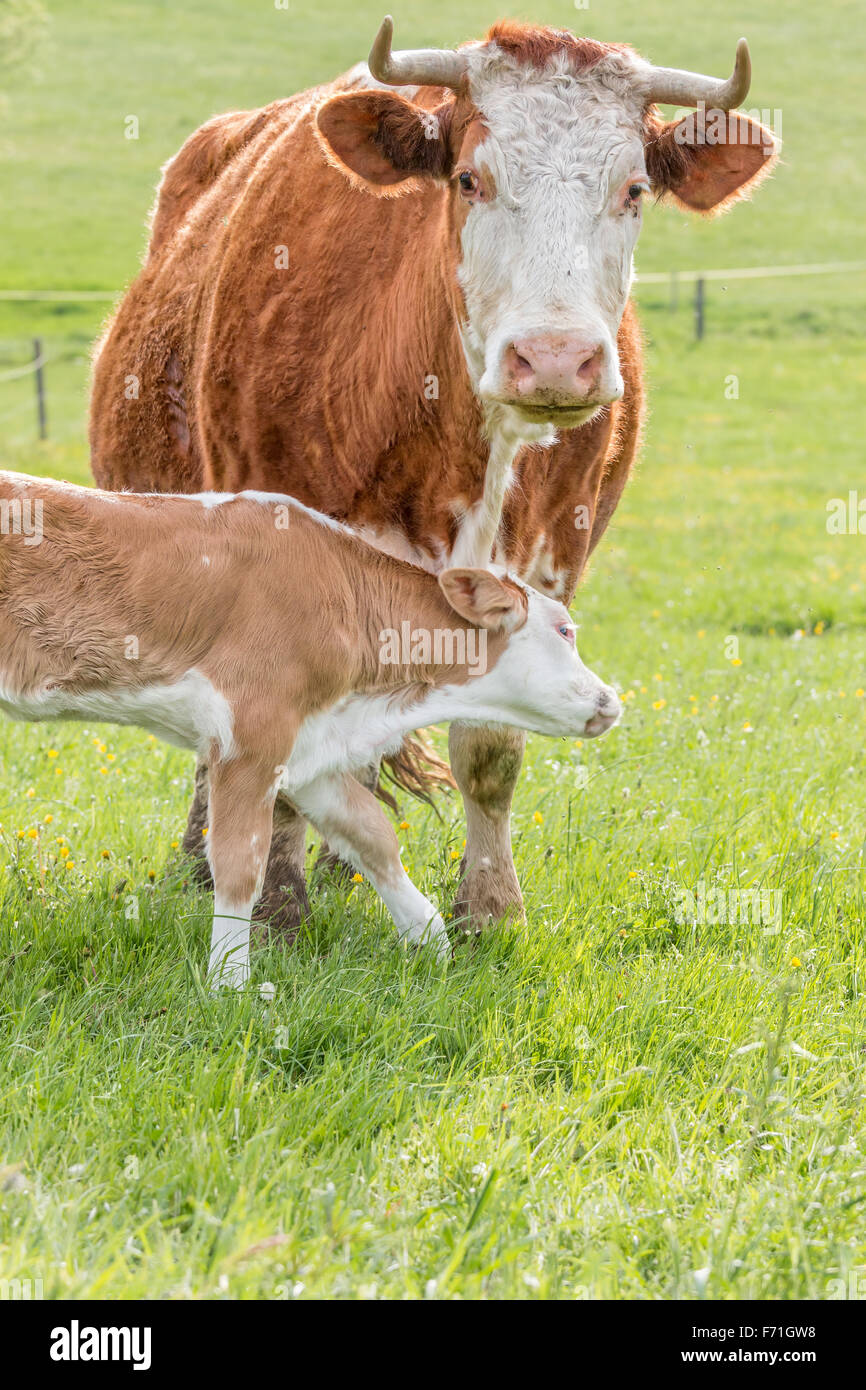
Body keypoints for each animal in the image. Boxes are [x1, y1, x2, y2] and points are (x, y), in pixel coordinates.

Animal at [0, 469, 619, 986]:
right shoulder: (252, 733)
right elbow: (240, 862)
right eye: (565, 630)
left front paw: (429, 938)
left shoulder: (307, 747)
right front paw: (230, 984)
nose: (611, 700)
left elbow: (372, 833)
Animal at [89, 17, 777, 936]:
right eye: (469, 178)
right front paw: (276, 905)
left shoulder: (545, 562)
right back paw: (206, 857)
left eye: (633, 188)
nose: (553, 359)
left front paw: (489, 911)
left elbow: (489, 746)